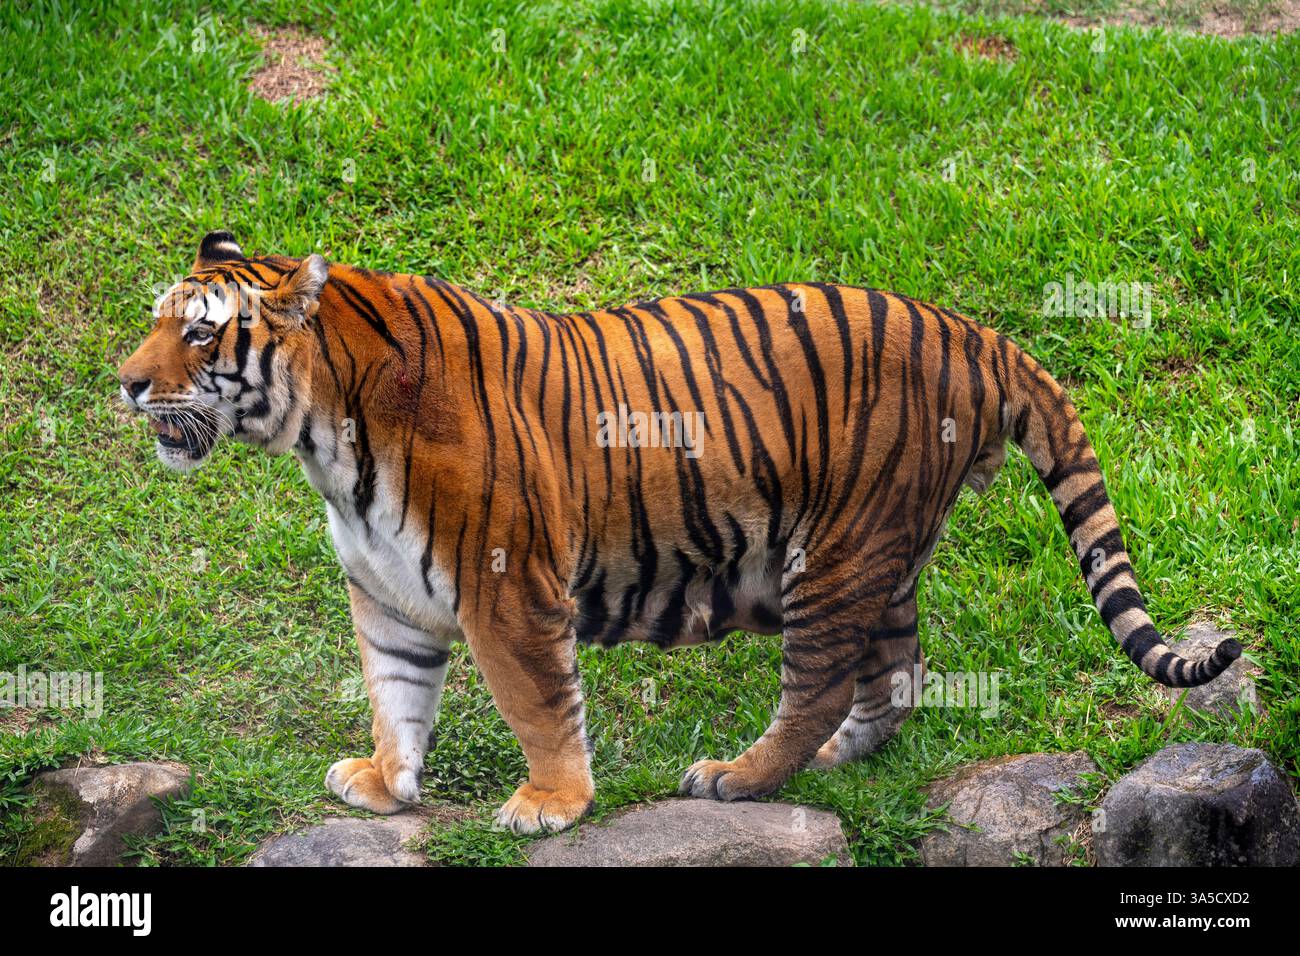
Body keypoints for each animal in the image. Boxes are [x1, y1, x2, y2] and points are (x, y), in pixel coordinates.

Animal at [116, 231, 1241, 834]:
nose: (124, 382)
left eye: (201, 334)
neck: (323, 437)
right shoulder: (388, 592)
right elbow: (396, 697)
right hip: (880, 553)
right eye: (161, 319)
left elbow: (536, 701)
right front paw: (386, 785)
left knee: (821, 677)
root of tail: (974, 330)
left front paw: (552, 802)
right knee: (898, 672)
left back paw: (742, 776)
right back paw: (837, 757)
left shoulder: (505, 584)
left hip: (831, 556)